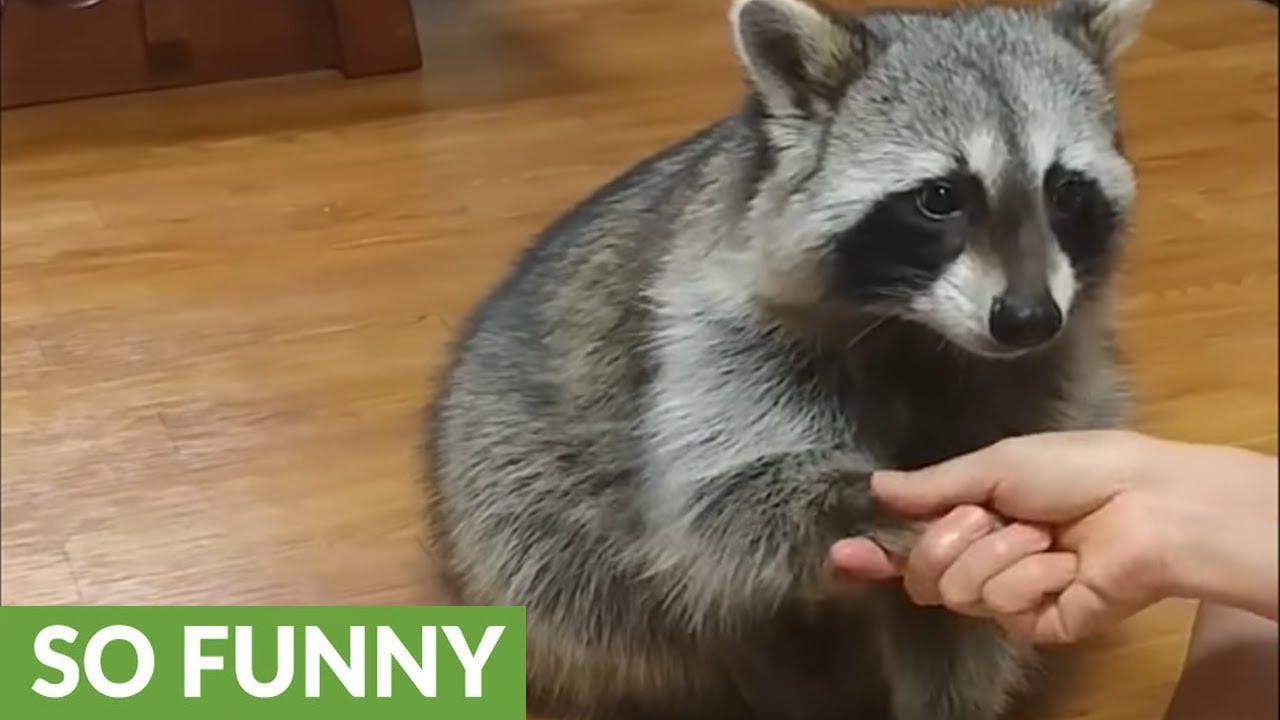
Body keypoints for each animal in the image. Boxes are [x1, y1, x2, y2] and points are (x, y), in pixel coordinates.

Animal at [425, 0, 1147, 718]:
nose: (1028, 319)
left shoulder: (1046, 367)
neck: (919, 328)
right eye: (940, 197)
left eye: (1066, 191)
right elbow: (723, 496)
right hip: (512, 487)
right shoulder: (717, 329)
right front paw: (882, 503)